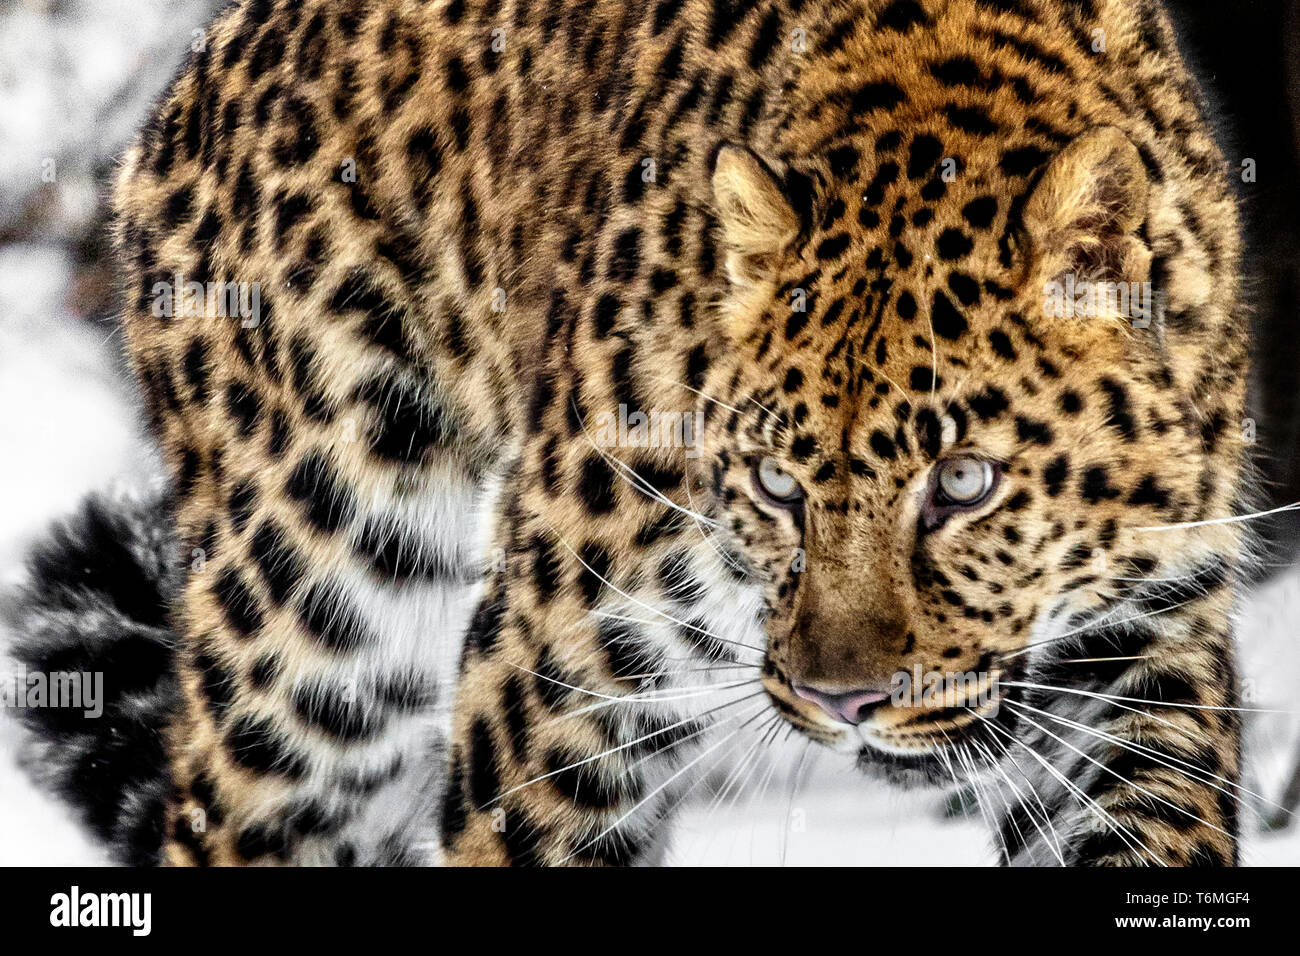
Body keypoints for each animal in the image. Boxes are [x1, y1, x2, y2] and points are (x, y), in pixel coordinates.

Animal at [5, 0, 1252, 867]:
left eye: (964, 481)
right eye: (776, 484)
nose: (841, 703)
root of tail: (184, 91)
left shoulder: (1140, 651)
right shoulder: (556, 686)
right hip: (318, 612)